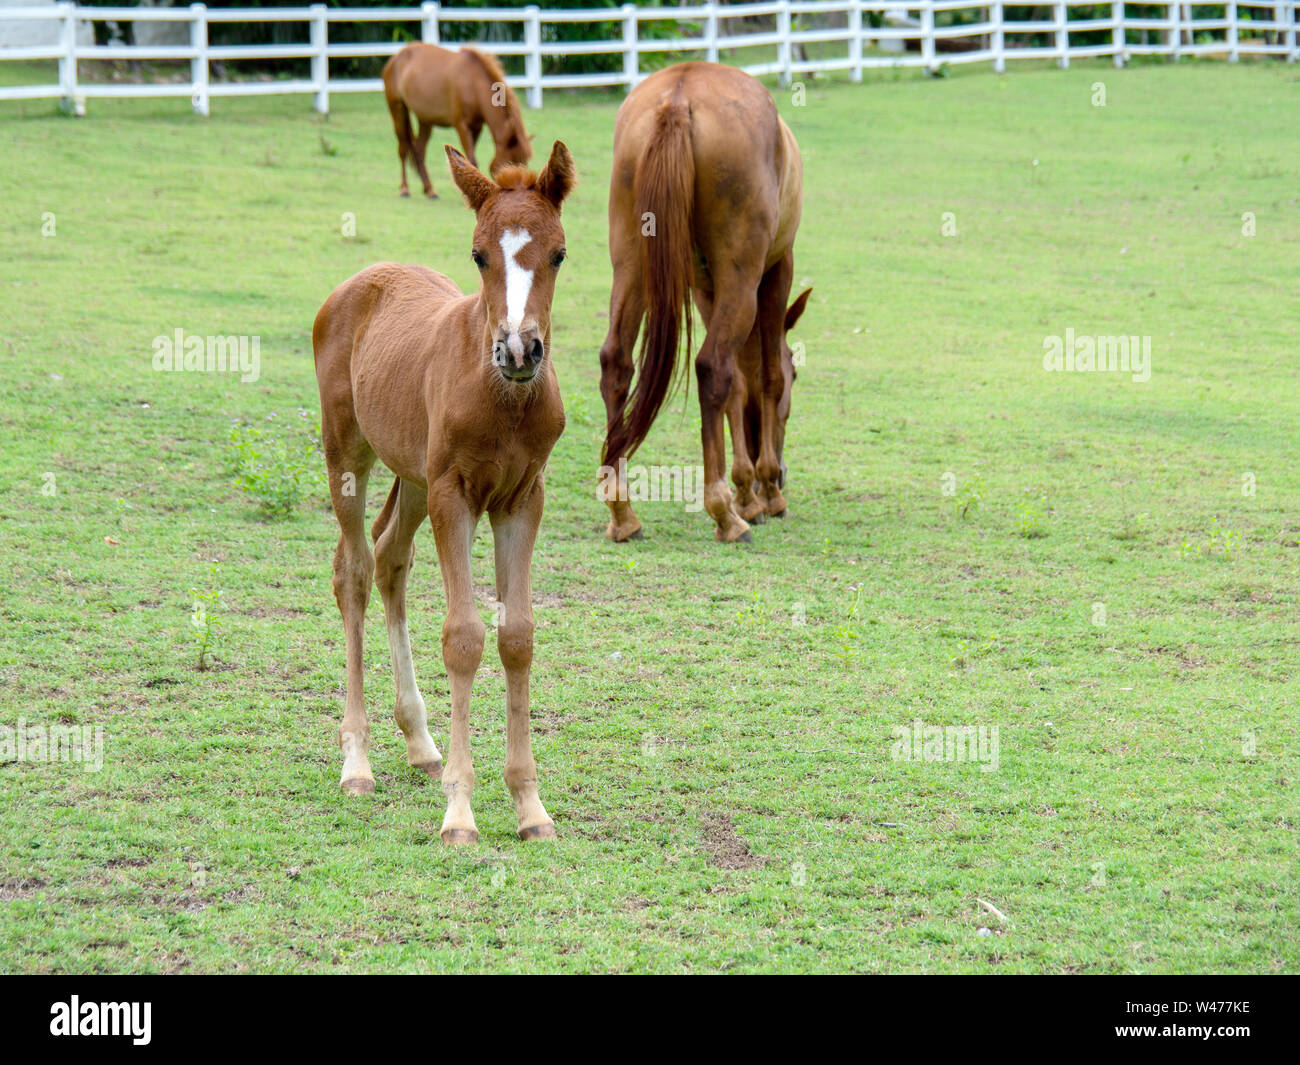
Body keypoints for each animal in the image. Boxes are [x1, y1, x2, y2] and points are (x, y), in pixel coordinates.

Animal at [312, 141, 575, 844]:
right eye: (479, 253)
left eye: (559, 252)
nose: (519, 349)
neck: (503, 398)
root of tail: (361, 280)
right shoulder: (453, 497)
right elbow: (463, 636)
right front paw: (460, 813)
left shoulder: (522, 499)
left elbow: (517, 637)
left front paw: (530, 808)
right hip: (349, 454)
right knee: (353, 570)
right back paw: (357, 762)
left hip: (411, 477)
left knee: (389, 562)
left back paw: (421, 743)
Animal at [382, 43, 533, 198]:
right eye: (509, 163)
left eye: (524, 163)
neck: (473, 82)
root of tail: (396, 57)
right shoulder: (462, 126)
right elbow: (471, 160)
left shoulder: (476, 127)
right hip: (398, 110)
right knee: (403, 149)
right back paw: (404, 189)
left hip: (425, 120)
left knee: (419, 150)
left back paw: (430, 190)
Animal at [597, 62, 809, 544]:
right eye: (798, 375)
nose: (784, 472)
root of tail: (679, 95)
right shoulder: (775, 272)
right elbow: (766, 377)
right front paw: (764, 492)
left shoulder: (704, 287)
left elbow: (740, 386)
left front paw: (748, 490)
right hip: (742, 274)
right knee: (712, 366)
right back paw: (724, 514)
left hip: (632, 264)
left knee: (617, 362)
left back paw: (623, 512)